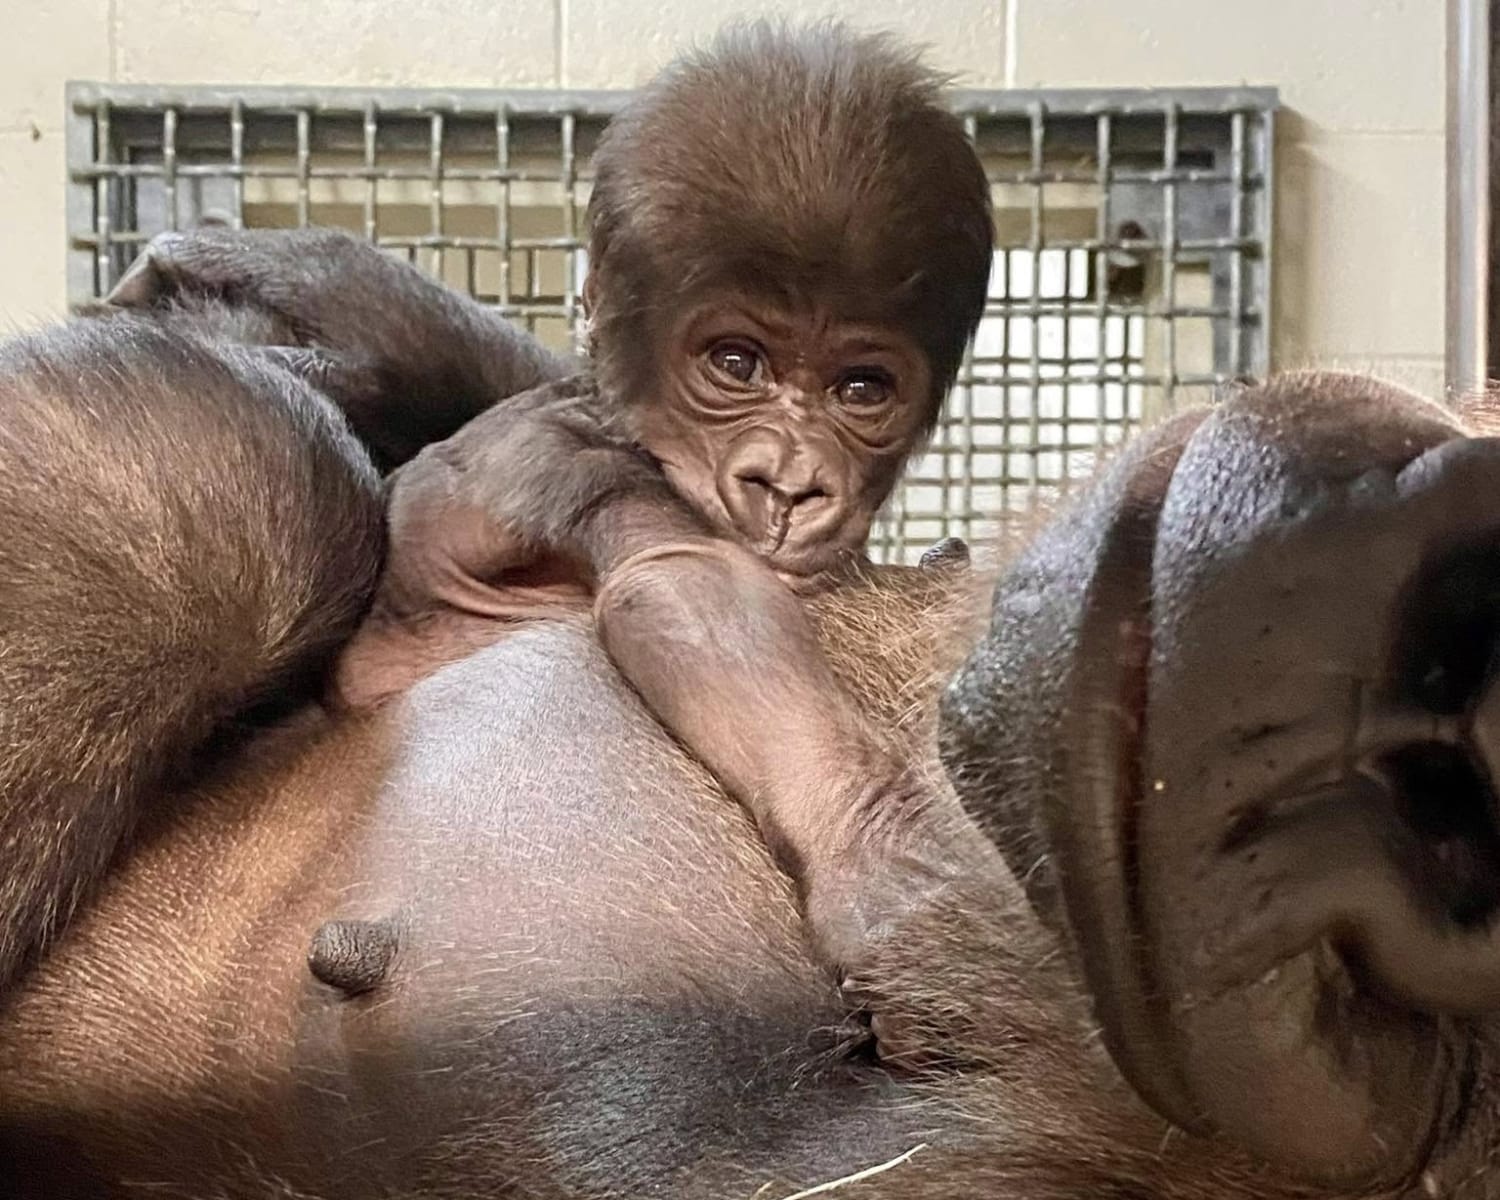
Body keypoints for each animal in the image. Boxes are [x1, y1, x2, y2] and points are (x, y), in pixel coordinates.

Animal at [105, 21, 997, 1005]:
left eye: (860, 389)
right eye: (736, 363)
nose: (790, 484)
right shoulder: (583, 467)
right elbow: (680, 584)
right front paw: (882, 858)